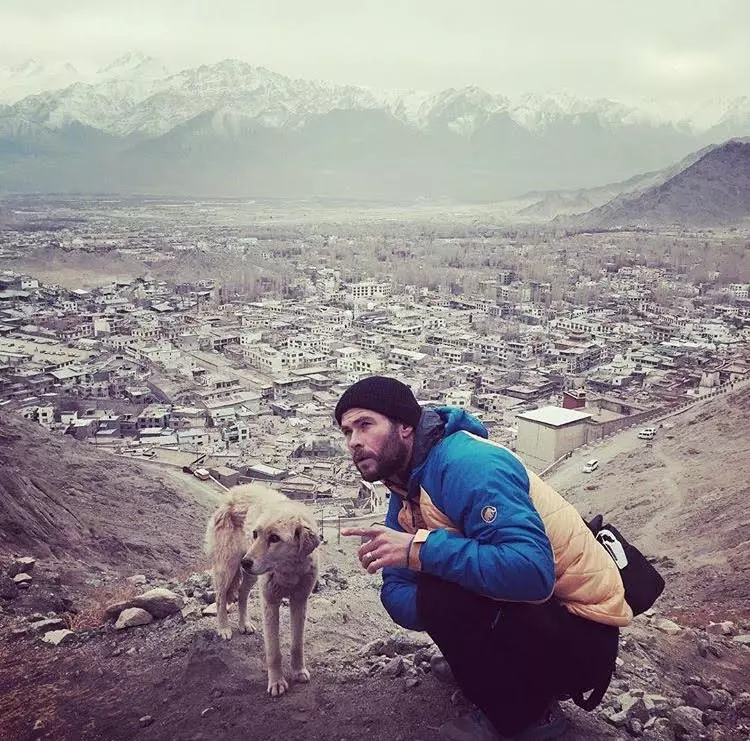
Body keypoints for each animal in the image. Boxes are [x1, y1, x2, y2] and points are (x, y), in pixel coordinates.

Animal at [204, 482, 322, 696]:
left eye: (274, 538)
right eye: (255, 534)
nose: (246, 562)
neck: (288, 571)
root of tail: (233, 491)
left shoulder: (300, 601)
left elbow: (297, 644)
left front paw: (298, 671)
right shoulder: (270, 603)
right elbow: (274, 651)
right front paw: (276, 683)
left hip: (251, 576)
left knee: (242, 593)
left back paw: (244, 624)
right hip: (228, 566)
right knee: (220, 597)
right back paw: (224, 628)